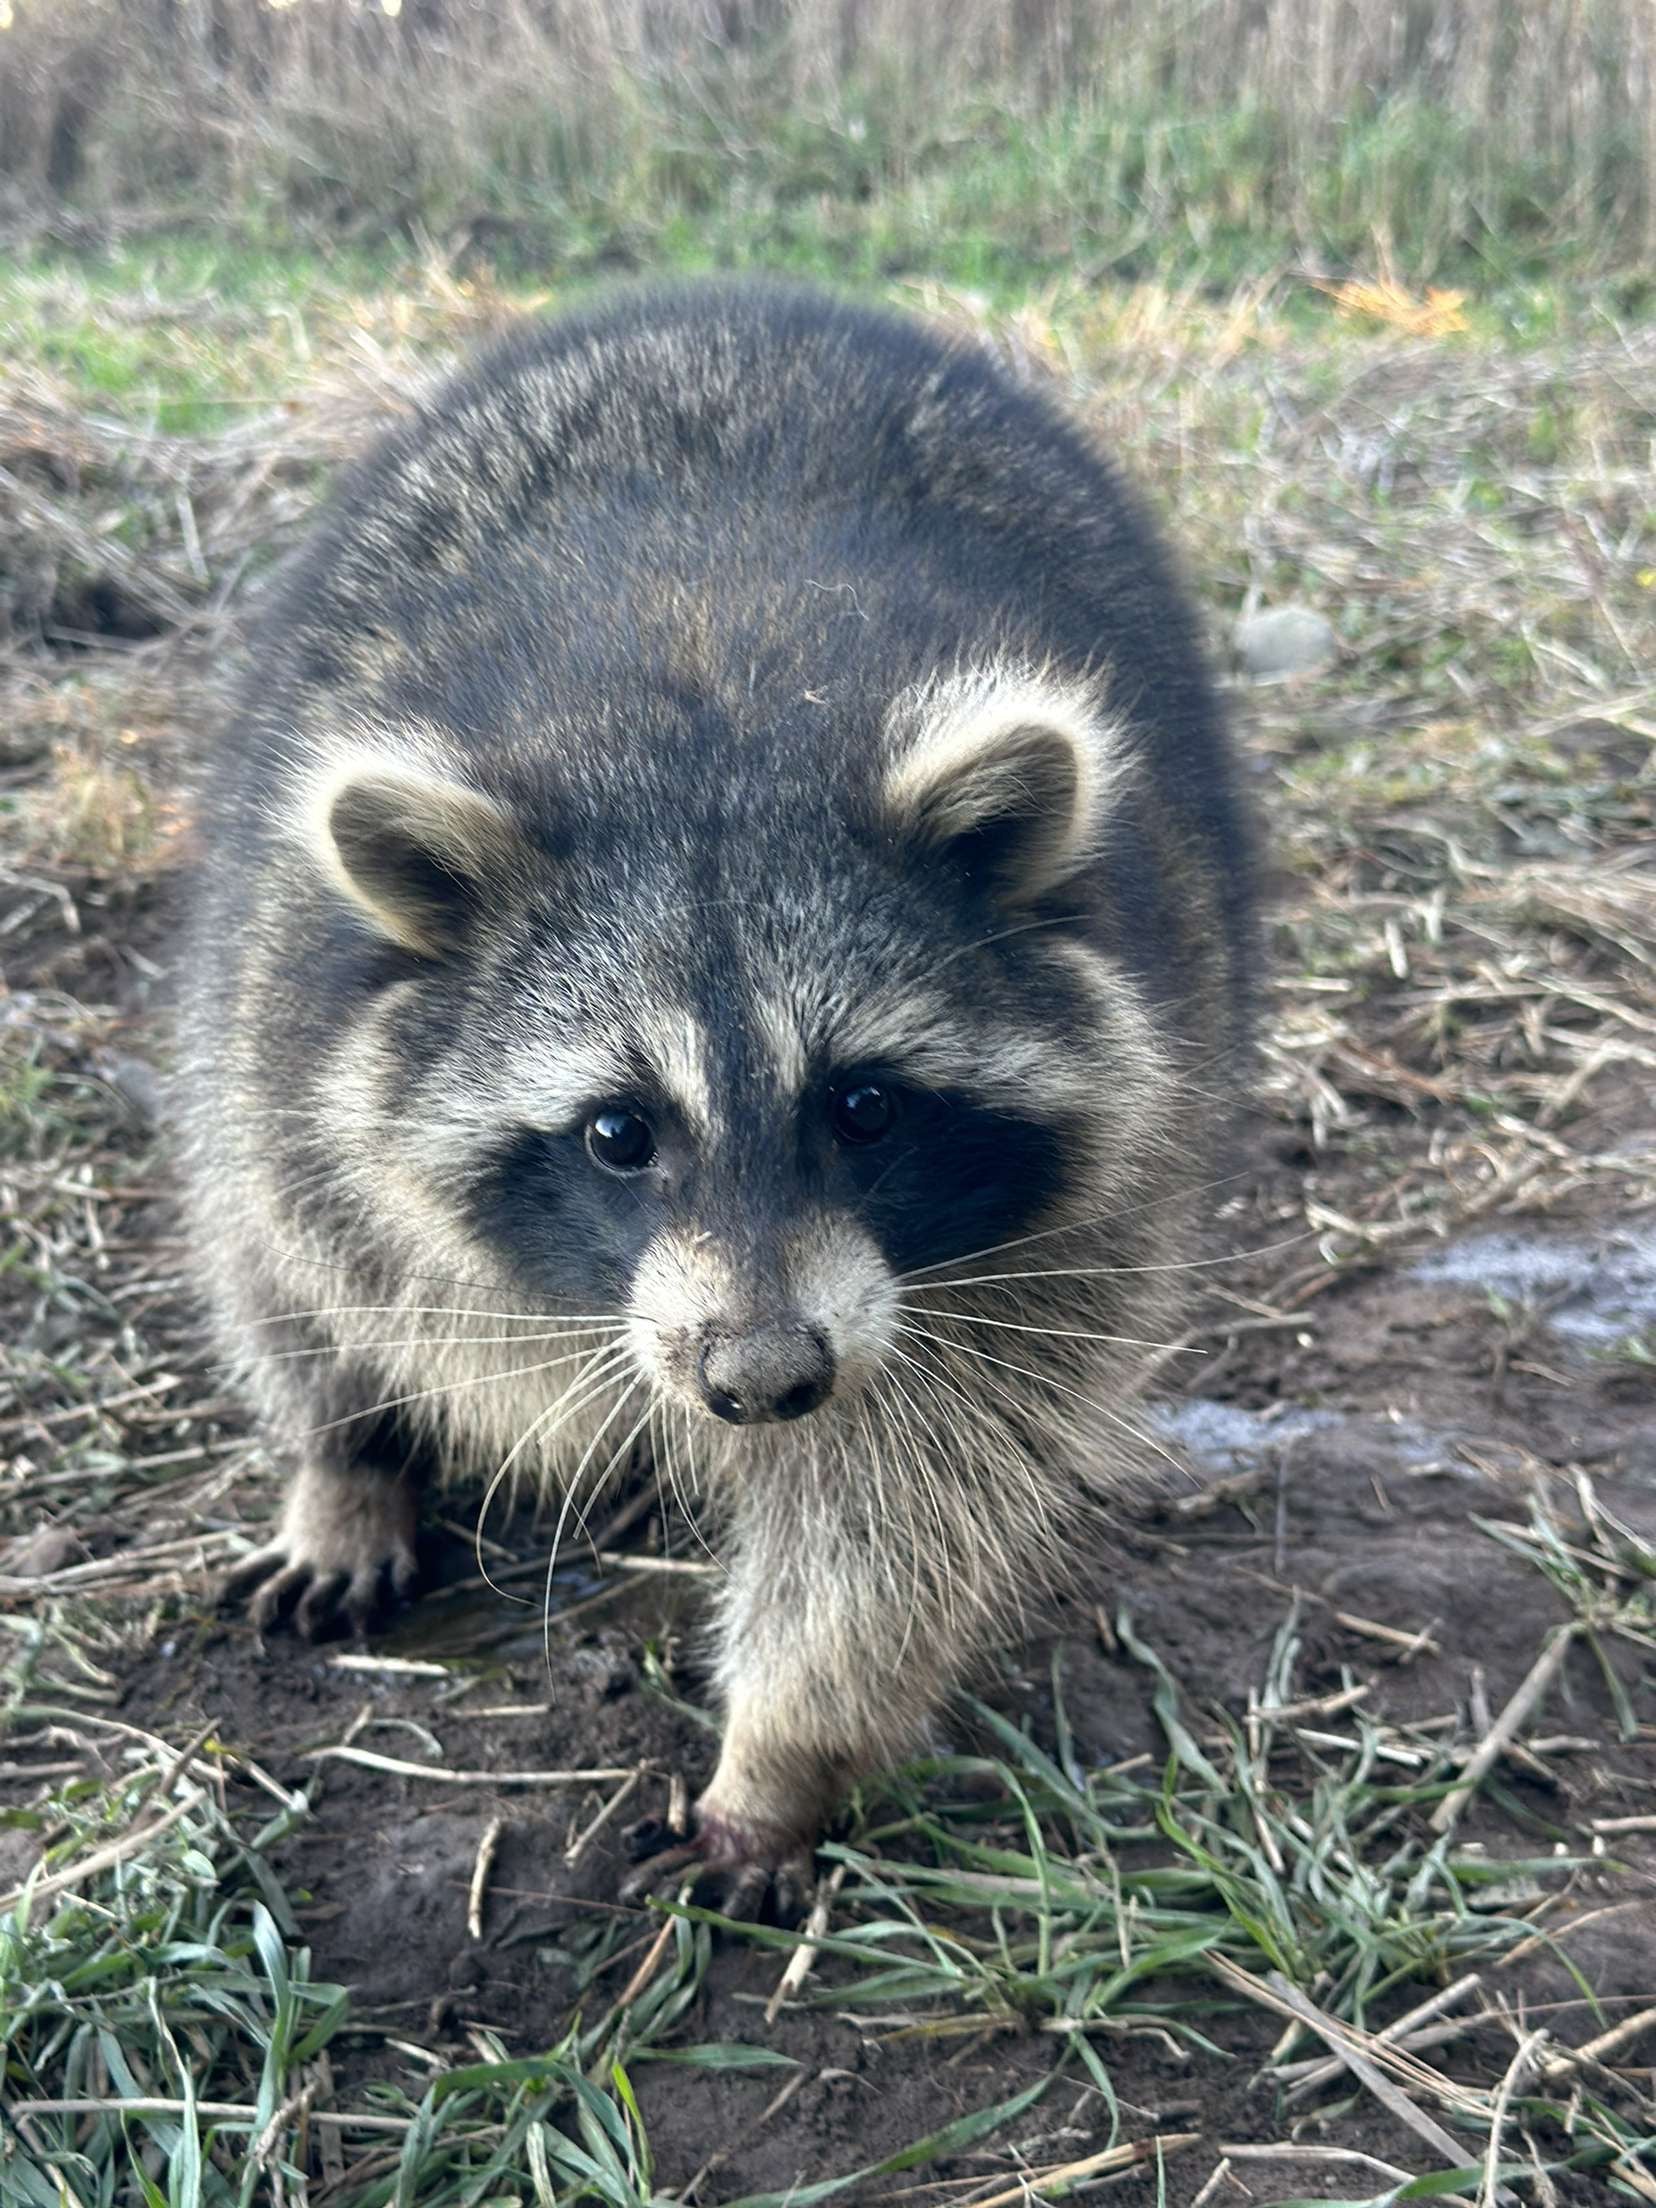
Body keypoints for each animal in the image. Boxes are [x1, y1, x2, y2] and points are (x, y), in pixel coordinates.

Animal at [183, 278, 1254, 1896]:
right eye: (619, 1132)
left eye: (864, 1108)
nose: (762, 1384)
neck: (714, 728)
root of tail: (751, 302)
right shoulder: (277, 1029)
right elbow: (291, 1262)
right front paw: (345, 1451)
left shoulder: (1043, 1247)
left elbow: (899, 1510)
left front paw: (782, 1753)